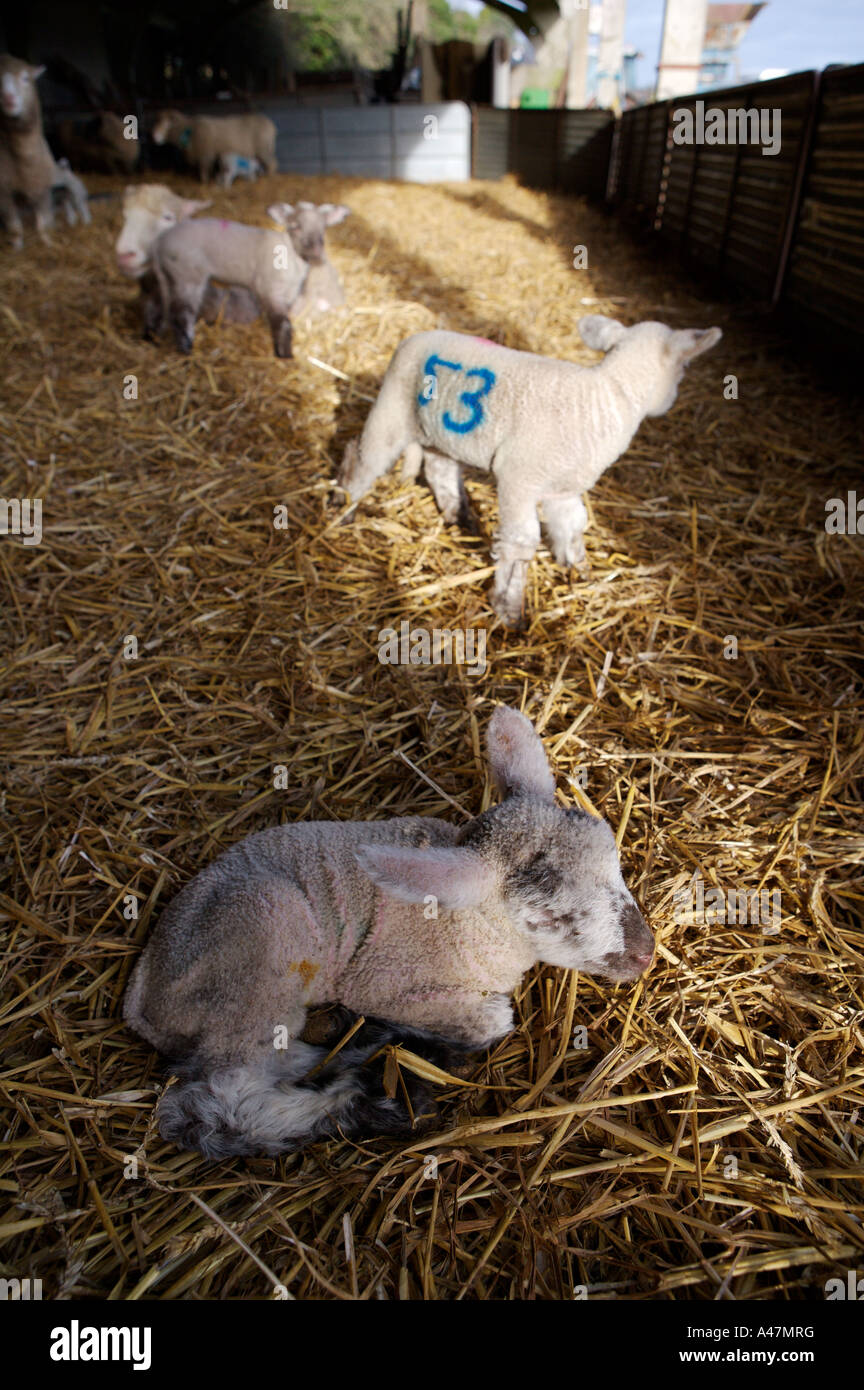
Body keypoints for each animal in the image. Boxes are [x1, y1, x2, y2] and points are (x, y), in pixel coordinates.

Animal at [0, 54, 60, 248]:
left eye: (26, 78)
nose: (8, 98)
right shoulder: (3, 192)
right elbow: (14, 226)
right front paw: (17, 247)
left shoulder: (43, 188)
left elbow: (44, 225)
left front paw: (49, 242)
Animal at [123, 704, 654, 1158]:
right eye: (549, 919)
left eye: (614, 862)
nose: (646, 952)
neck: (467, 925)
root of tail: (141, 999)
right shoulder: (381, 981)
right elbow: (494, 1021)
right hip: (258, 956)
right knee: (225, 1090)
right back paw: (366, 1084)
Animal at [339, 316, 722, 626]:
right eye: (683, 370)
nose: (671, 399)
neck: (608, 396)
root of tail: (414, 336)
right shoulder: (519, 477)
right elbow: (522, 541)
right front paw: (509, 607)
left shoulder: (564, 487)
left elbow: (573, 525)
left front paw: (578, 569)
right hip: (391, 410)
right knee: (361, 457)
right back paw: (343, 509)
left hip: (438, 429)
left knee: (439, 467)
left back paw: (458, 515)